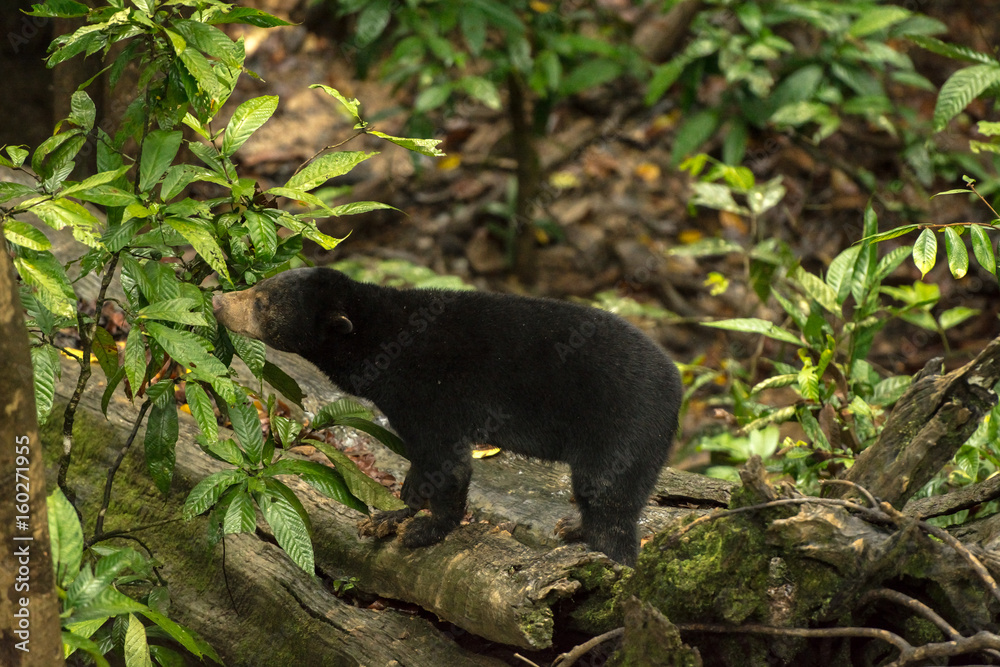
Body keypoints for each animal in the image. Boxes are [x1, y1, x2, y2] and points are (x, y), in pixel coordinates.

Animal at [212, 267, 682, 565]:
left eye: (262, 305)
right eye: (259, 284)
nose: (217, 299)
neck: (383, 340)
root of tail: (676, 387)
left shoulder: (429, 398)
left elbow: (447, 467)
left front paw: (423, 531)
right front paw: (388, 517)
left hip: (623, 430)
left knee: (609, 503)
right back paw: (573, 528)